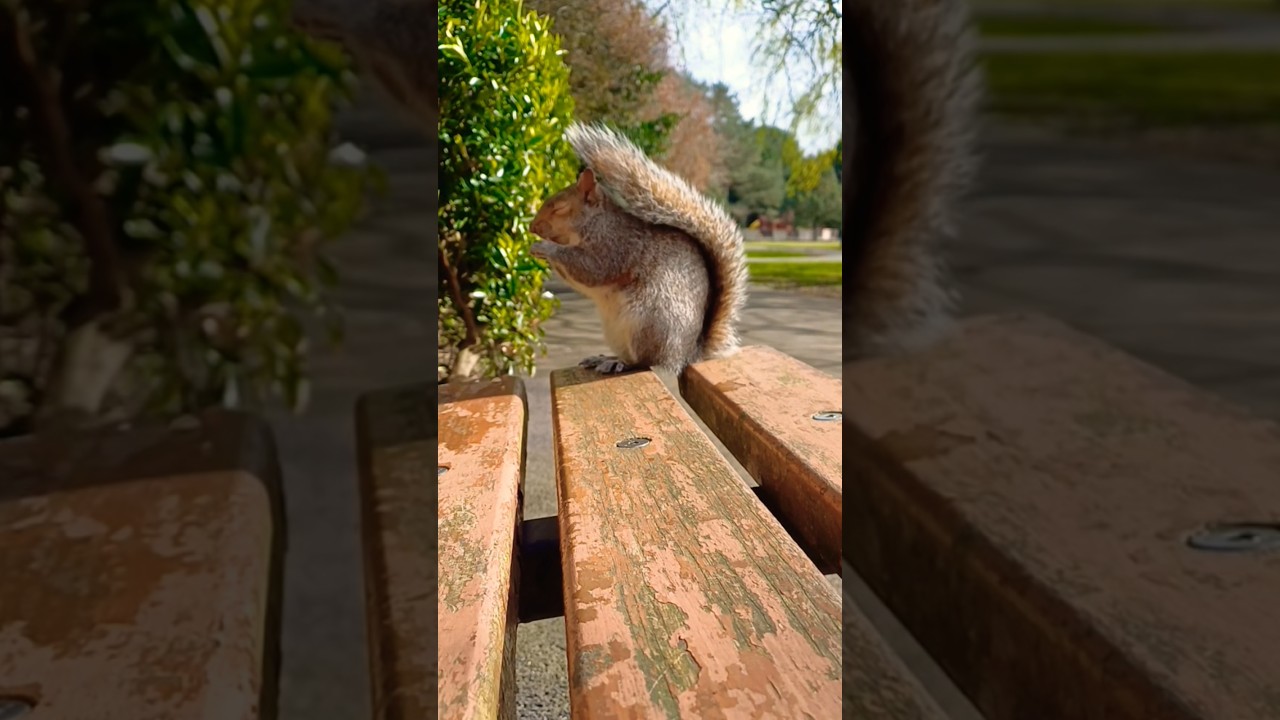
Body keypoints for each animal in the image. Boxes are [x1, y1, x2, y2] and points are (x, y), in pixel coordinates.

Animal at [529, 123, 748, 375]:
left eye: (560, 208)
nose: (531, 227)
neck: (597, 221)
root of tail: (686, 355)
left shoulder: (615, 246)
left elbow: (590, 269)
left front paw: (545, 247)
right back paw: (605, 357)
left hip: (647, 322)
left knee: (645, 361)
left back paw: (620, 363)